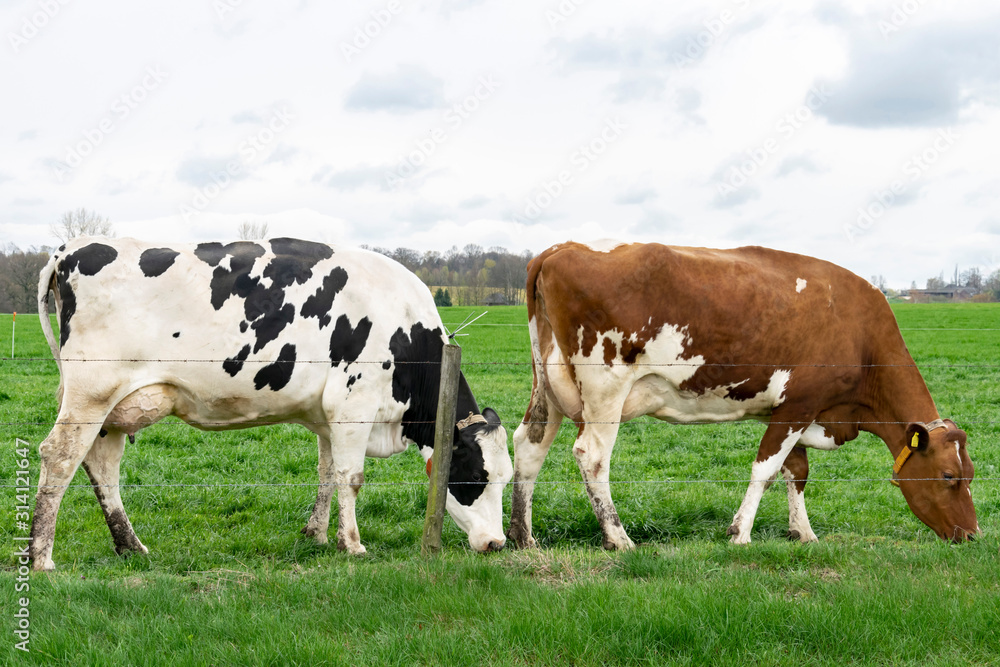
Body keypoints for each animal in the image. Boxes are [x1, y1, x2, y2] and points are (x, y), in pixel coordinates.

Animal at [31, 237, 513, 571]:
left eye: (508, 480)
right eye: (475, 476)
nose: (496, 543)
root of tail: (70, 248)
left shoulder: (327, 416)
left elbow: (327, 475)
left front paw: (318, 535)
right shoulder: (353, 404)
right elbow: (351, 478)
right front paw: (353, 544)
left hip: (115, 408)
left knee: (101, 465)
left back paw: (130, 546)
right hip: (91, 393)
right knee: (60, 457)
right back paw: (41, 557)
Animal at [507, 241, 978, 550]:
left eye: (970, 476)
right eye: (947, 477)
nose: (972, 535)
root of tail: (560, 248)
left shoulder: (788, 409)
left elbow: (796, 470)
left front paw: (803, 533)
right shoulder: (802, 403)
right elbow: (765, 469)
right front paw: (741, 533)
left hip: (547, 388)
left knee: (529, 445)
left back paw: (523, 535)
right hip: (605, 389)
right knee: (592, 456)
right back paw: (619, 539)